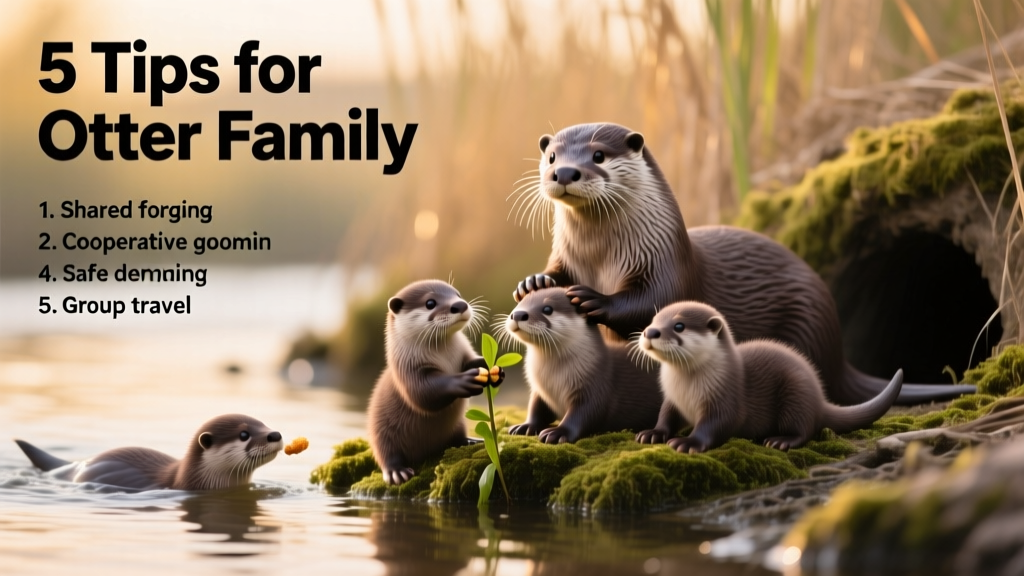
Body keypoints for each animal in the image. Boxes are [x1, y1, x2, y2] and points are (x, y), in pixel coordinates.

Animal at [368, 279, 503, 486]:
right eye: (430, 303)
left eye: (457, 294)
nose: (460, 305)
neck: (445, 357)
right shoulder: (409, 370)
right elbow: (423, 394)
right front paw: (463, 380)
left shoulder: (463, 355)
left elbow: (472, 362)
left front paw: (492, 369)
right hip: (380, 432)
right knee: (386, 453)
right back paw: (397, 472)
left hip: (458, 424)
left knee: (455, 438)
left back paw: (471, 441)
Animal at [498, 287, 662, 443]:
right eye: (519, 304)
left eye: (548, 309)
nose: (518, 314)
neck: (553, 379)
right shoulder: (539, 391)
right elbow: (536, 408)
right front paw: (526, 426)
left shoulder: (596, 385)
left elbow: (585, 414)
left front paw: (558, 432)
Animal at [511, 122, 973, 406]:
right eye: (552, 156)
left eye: (599, 155)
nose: (565, 172)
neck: (601, 261)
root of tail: (837, 347)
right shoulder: (568, 257)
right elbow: (555, 272)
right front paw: (533, 282)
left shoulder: (666, 265)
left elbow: (651, 304)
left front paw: (593, 299)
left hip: (805, 321)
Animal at [634, 301, 903, 452]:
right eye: (653, 320)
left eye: (679, 326)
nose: (650, 331)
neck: (685, 389)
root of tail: (819, 398)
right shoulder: (671, 399)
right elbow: (666, 415)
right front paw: (653, 433)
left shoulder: (726, 398)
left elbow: (717, 423)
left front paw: (687, 443)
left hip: (796, 394)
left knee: (805, 429)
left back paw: (781, 441)